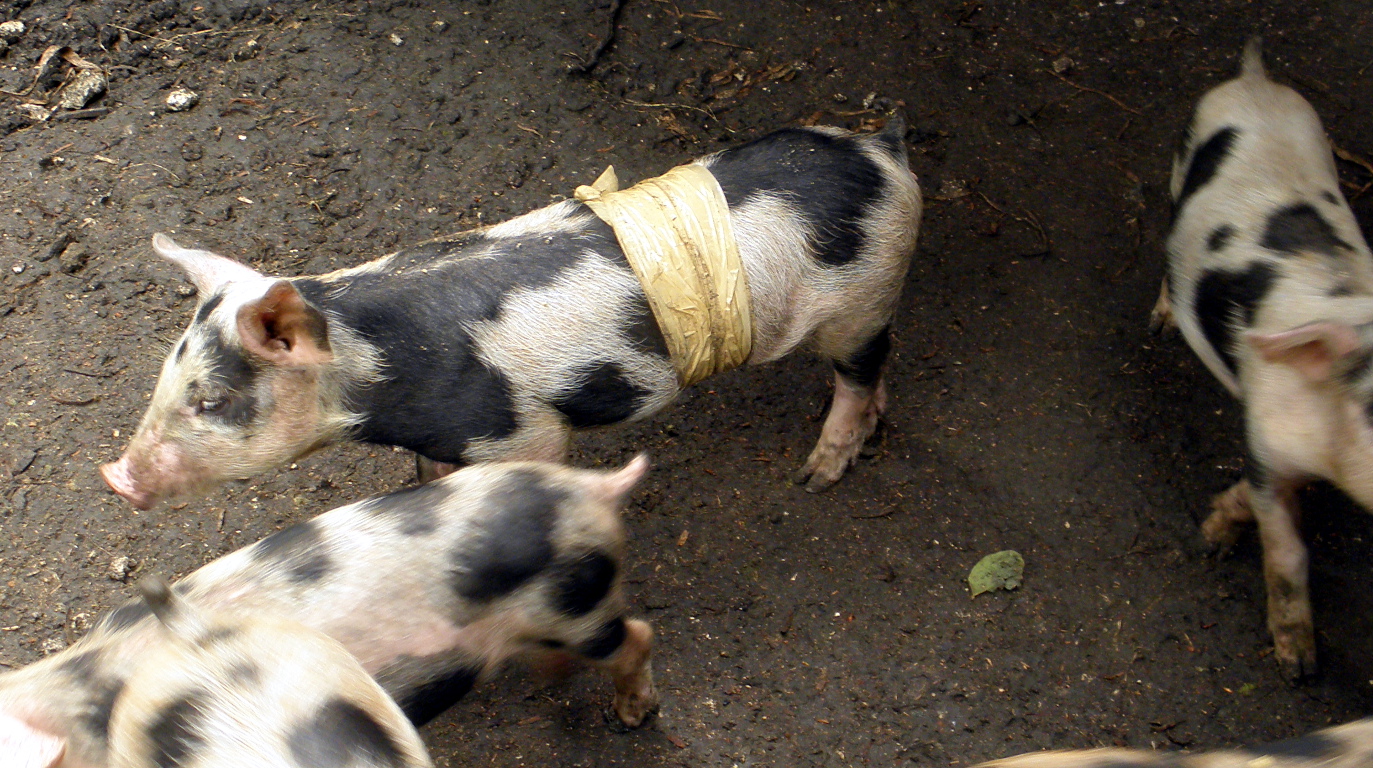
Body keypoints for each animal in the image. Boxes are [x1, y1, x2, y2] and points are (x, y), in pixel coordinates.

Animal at [100, 118, 921, 508]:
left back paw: (816, 476)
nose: (116, 477)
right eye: (163, 382)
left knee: (860, 370)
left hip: (863, 295)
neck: (377, 377)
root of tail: (883, 150)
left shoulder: (523, 431)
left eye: (212, 400)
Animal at [1151, 37, 1373, 678]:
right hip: (1181, 161)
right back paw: (1162, 320)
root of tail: (1255, 81)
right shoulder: (1265, 438)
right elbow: (1287, 552)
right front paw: (1298, 667)